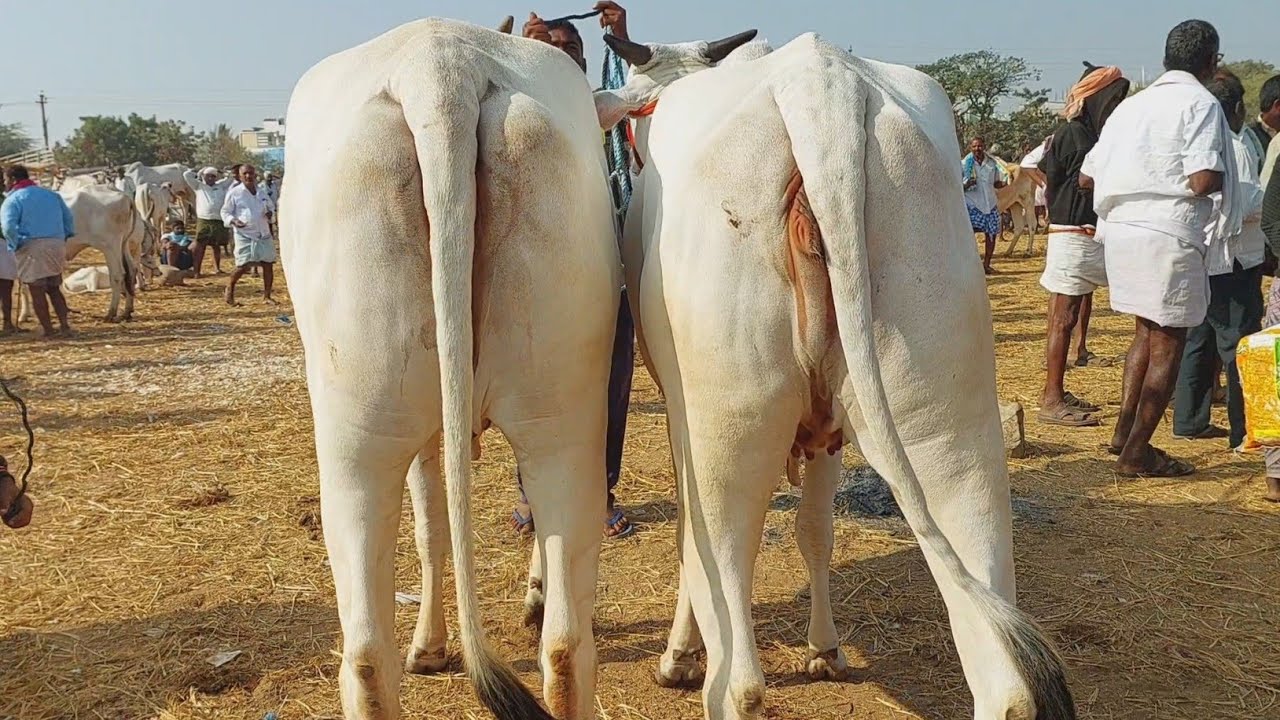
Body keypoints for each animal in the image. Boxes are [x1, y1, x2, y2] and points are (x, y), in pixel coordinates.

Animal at [282, 17, 619, 720]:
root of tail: (441, 70)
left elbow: (431, 526)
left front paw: (431, 646)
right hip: (563, 411)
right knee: (565, 644)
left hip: (362, 432)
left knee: (365, 653)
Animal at [594, 32, 1074, 720]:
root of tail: (820, 88)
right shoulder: (827, 433)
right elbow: (815, 532)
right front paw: (825, 649)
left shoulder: (682, 421)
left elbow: (691, 536)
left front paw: (679, 655)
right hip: (947, 427)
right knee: (1004, 682)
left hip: (727, 434)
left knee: (738, 679)